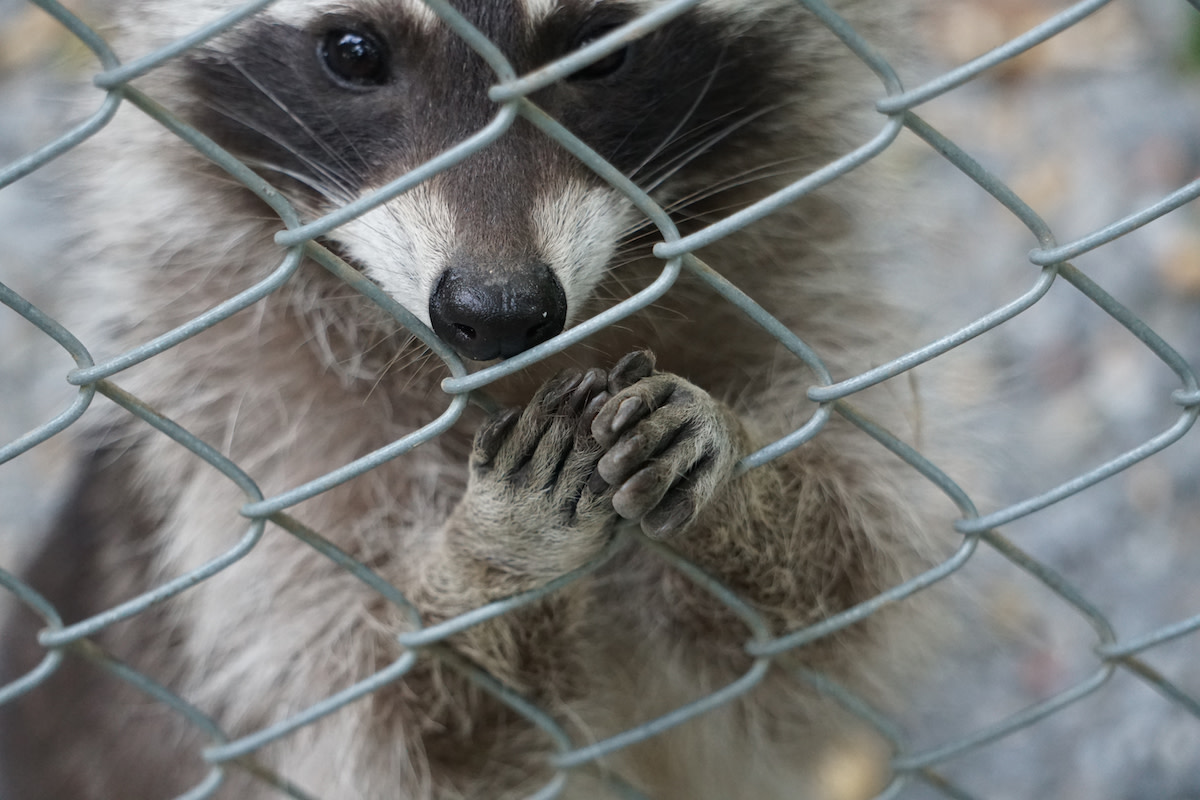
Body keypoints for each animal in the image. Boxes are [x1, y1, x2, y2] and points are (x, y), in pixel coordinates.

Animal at [1, 0, 943, 798]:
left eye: (605, 52)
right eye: (354, 53)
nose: (498, 313)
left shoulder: (793, 286)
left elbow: (837, 589)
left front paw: (730, 466)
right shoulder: (241, 422)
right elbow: (402, 723)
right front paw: (498, 558)